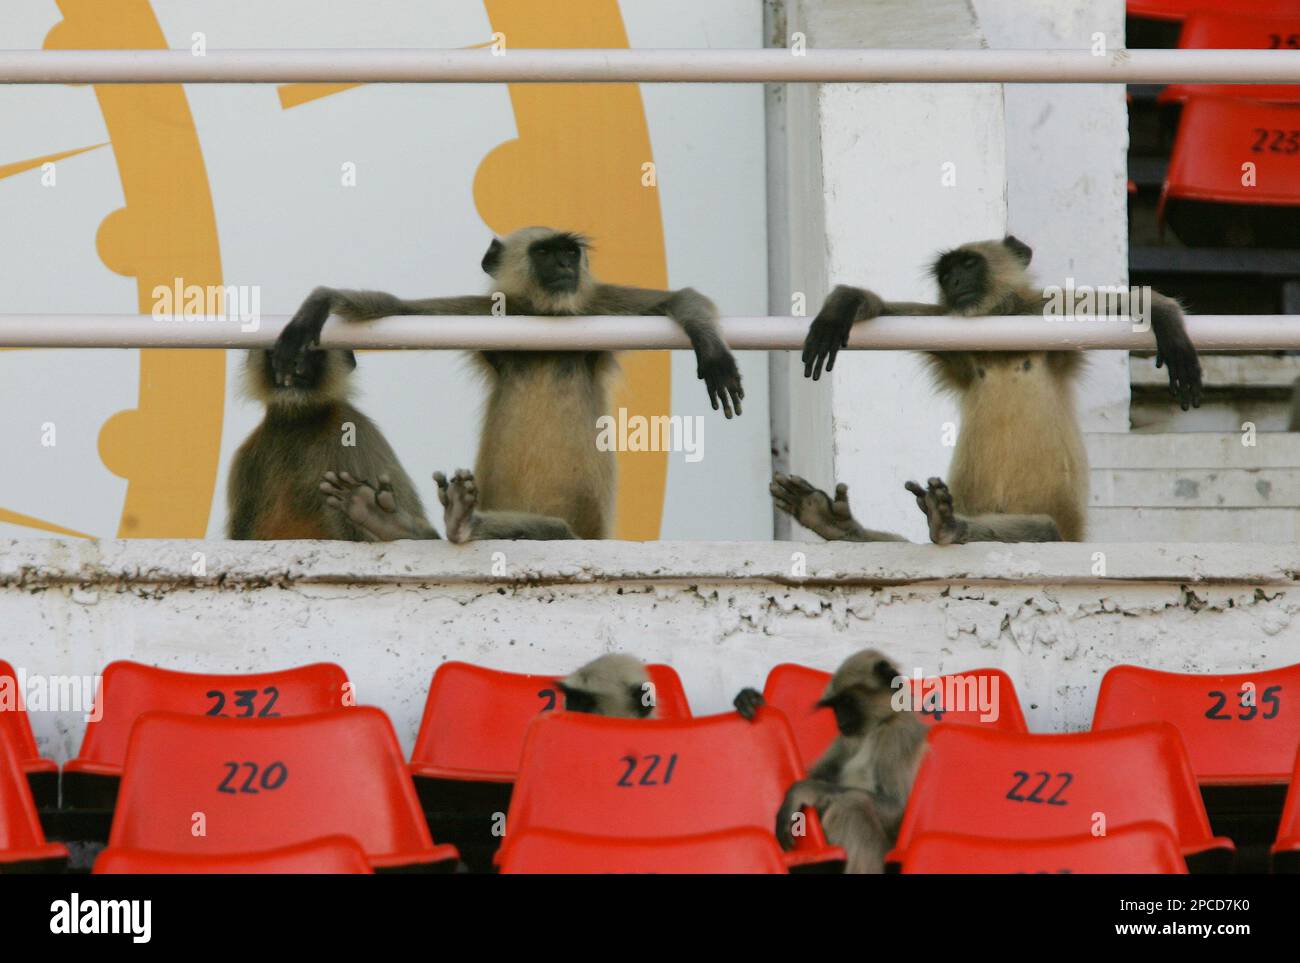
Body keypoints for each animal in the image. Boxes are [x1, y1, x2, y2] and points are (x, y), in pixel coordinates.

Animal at [276, 226, 744, 542]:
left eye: (570, 252)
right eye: (546, 252)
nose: (566, 266)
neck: (543, 317)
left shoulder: (595, 305)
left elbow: (679, 299)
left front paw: (712, 350)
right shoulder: (490, 312)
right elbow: (399, 310)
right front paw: (319, 304)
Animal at [734, 649, 926, 874]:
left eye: (847, 702)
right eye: (834, 706)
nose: (839, 720)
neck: (878, 724)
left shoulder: (898, 733)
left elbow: (897, 805)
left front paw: (802, 790)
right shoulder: (847, 739)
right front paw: (751, 700)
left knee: (852, 805)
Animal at [781, 236, 1203, 544]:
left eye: (968, 264)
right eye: (946, 272)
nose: (953, 282)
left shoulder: (1041, 315)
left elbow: (1116, 304)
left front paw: (1164, 316)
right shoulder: (957, 340)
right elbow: (892, 312)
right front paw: (844, 304)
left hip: (1063, 534)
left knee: (1045, 529)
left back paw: (950, 527)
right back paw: (840, 525)